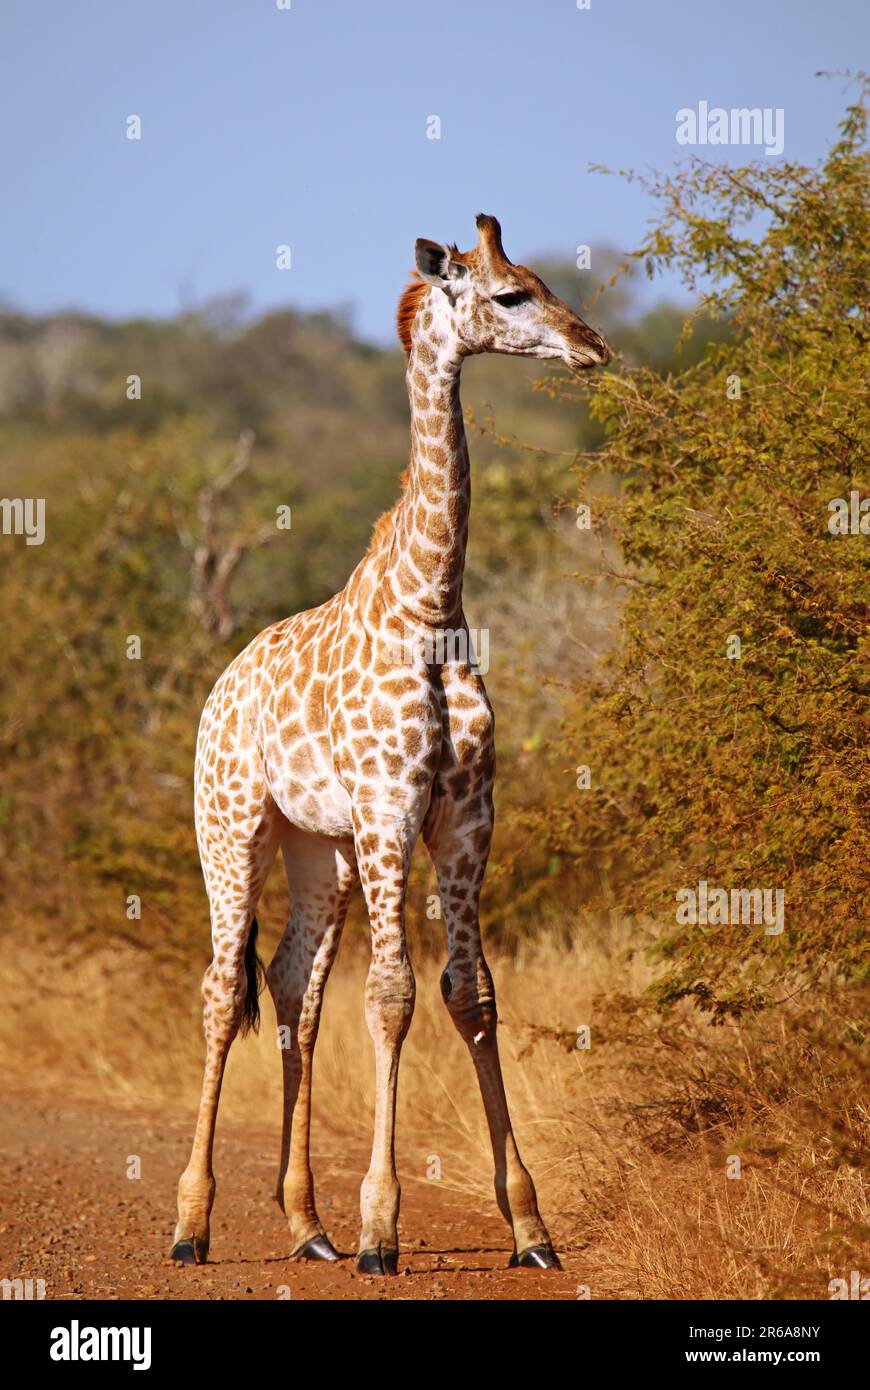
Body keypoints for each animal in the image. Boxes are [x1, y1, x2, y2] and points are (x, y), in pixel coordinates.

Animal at [169, 214, 609, 1275]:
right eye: (510, 296)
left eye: (542, 281)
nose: (593, 348)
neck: (432, 606)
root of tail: (218, 686)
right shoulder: (389, 810)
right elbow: (395, 998)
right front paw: (383, 1227)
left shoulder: (466, 818)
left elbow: (470, 994)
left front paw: (529, 1227)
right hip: (232, 830)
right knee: (221, 990)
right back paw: (194, 1224)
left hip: (316, 851)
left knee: (292, 990)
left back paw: (306, 1225)